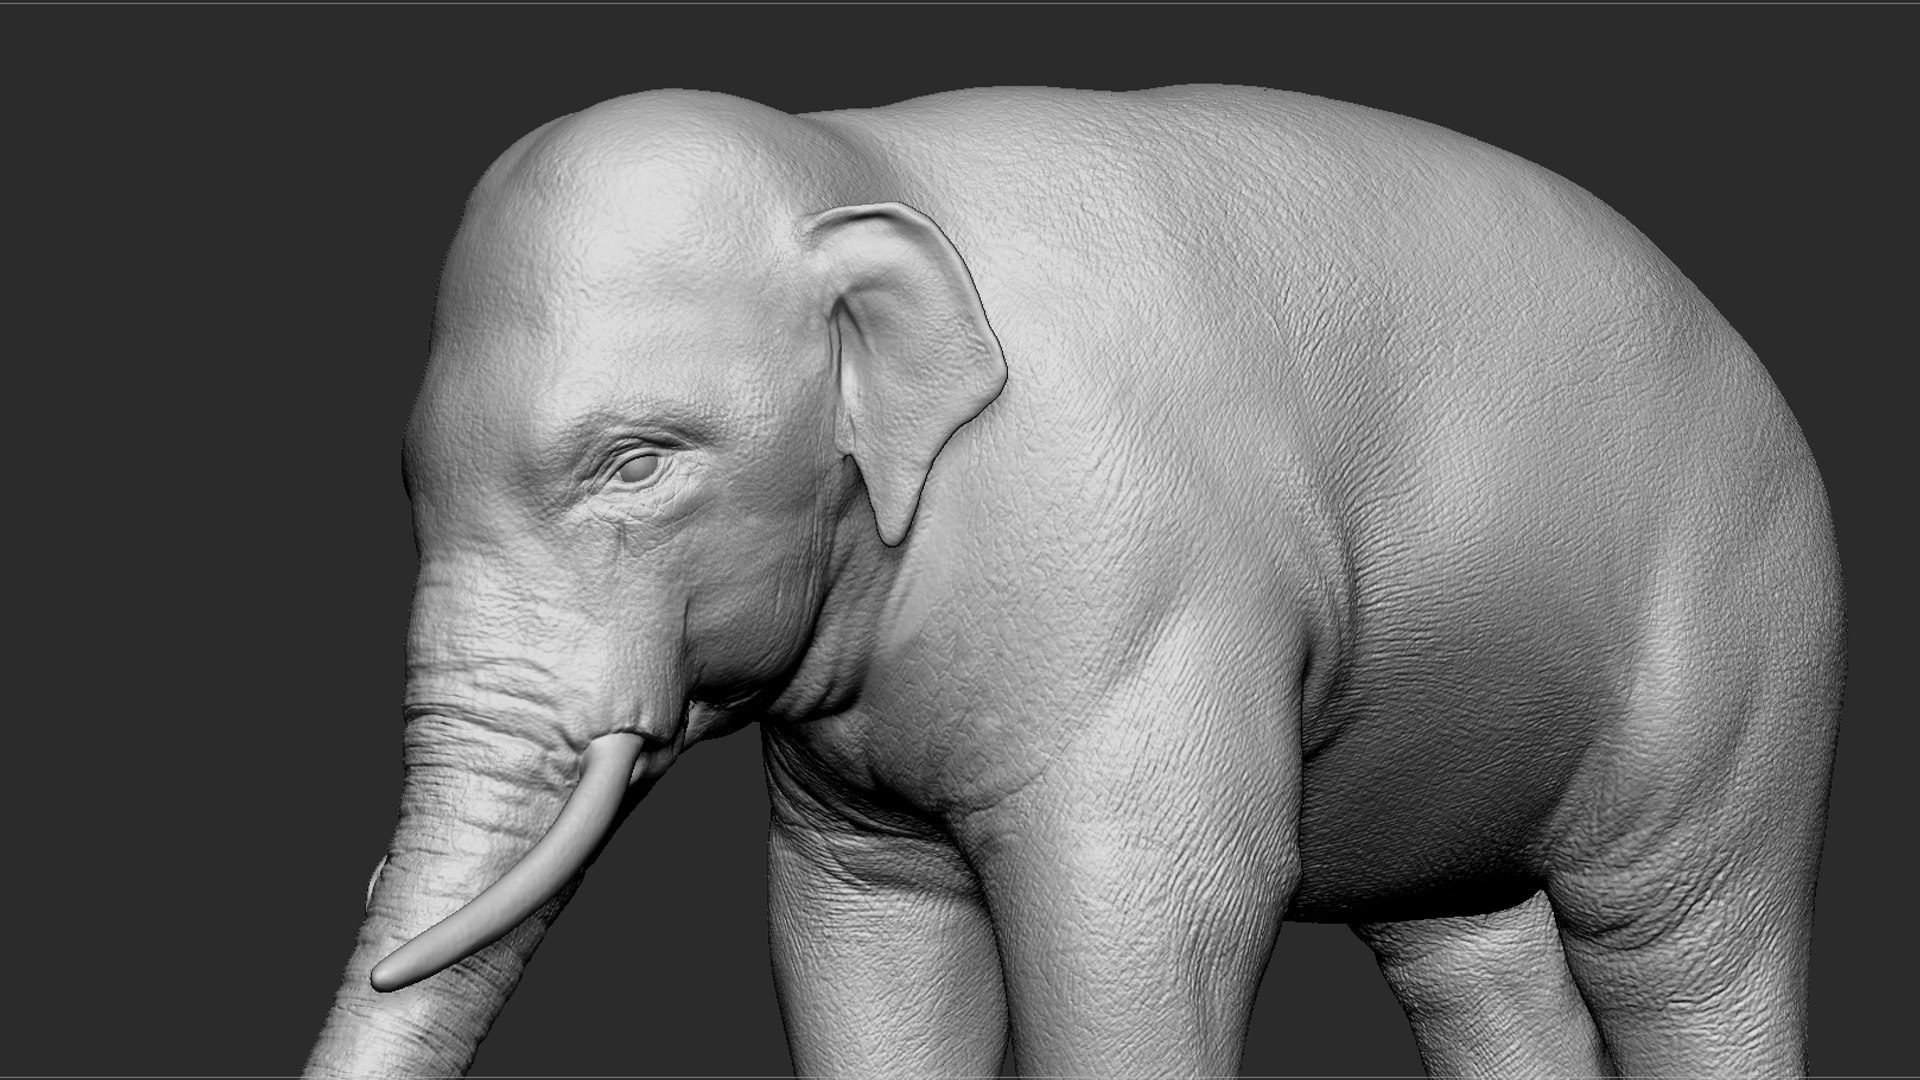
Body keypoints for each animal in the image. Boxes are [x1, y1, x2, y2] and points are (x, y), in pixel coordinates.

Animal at [306, 85, 1844, 1078]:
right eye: (404, 483)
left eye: (635, 462)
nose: (383, 951)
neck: (854, 162)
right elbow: (858, 921)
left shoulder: (1138, 581)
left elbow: (1152, 915)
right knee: (1474, 960)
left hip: (1739, 645)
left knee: (1682, 948)